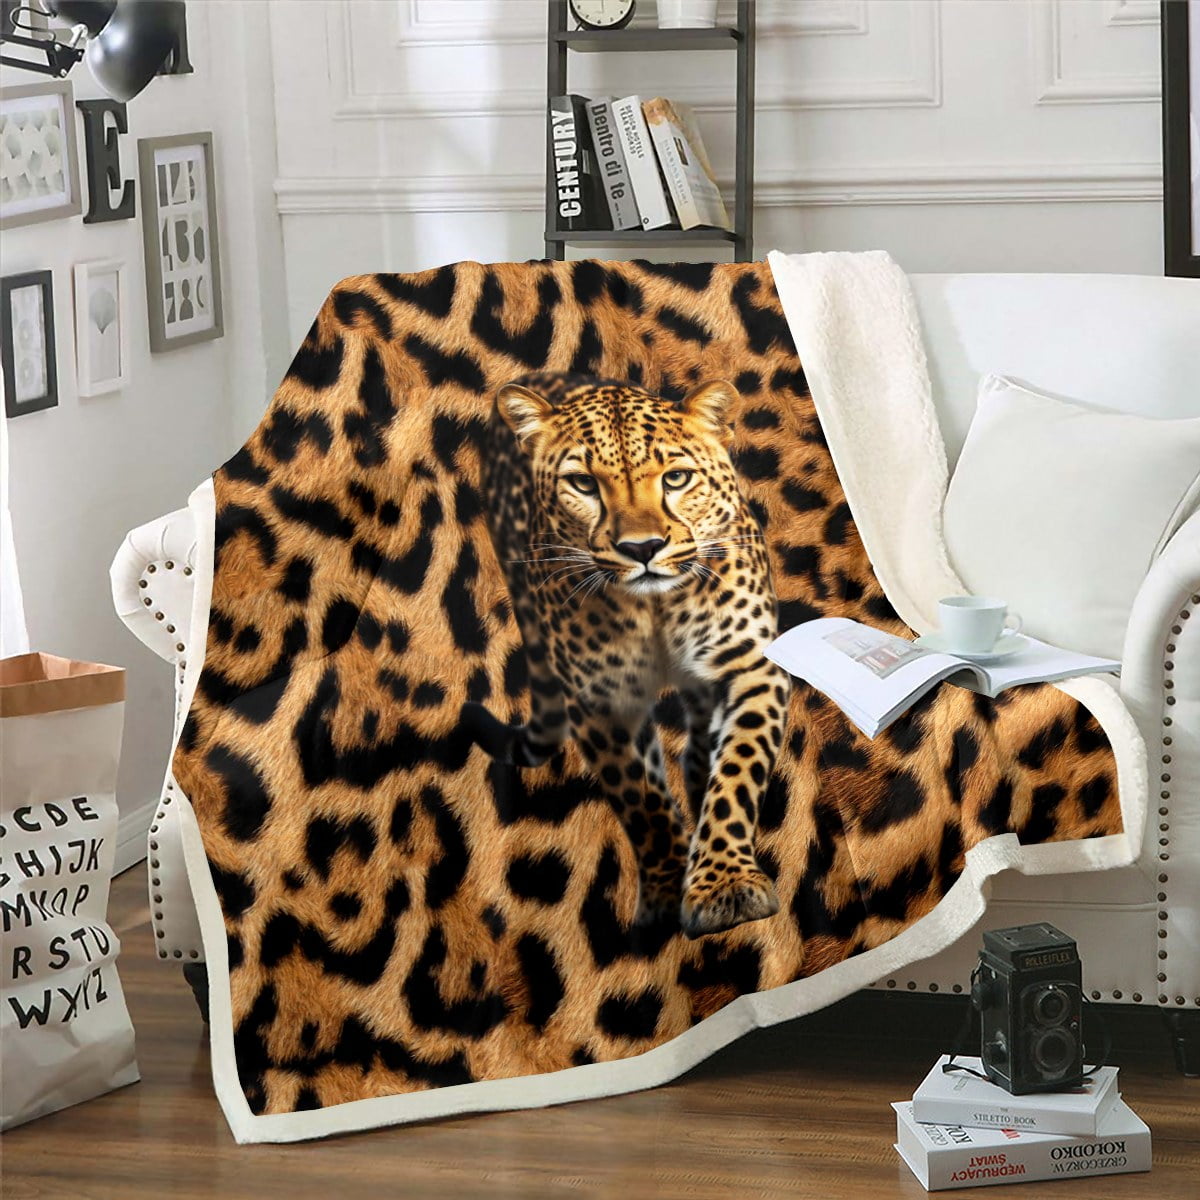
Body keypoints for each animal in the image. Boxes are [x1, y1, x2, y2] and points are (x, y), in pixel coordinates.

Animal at [463, 372, 791, 939]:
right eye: (583, 484)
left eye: (677, 478)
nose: (642, 548)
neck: (657, 609)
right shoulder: (598, 700)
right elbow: (642, 800)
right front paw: (667, 887)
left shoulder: (750, 666)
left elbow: (737, 771)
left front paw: (723, 884)